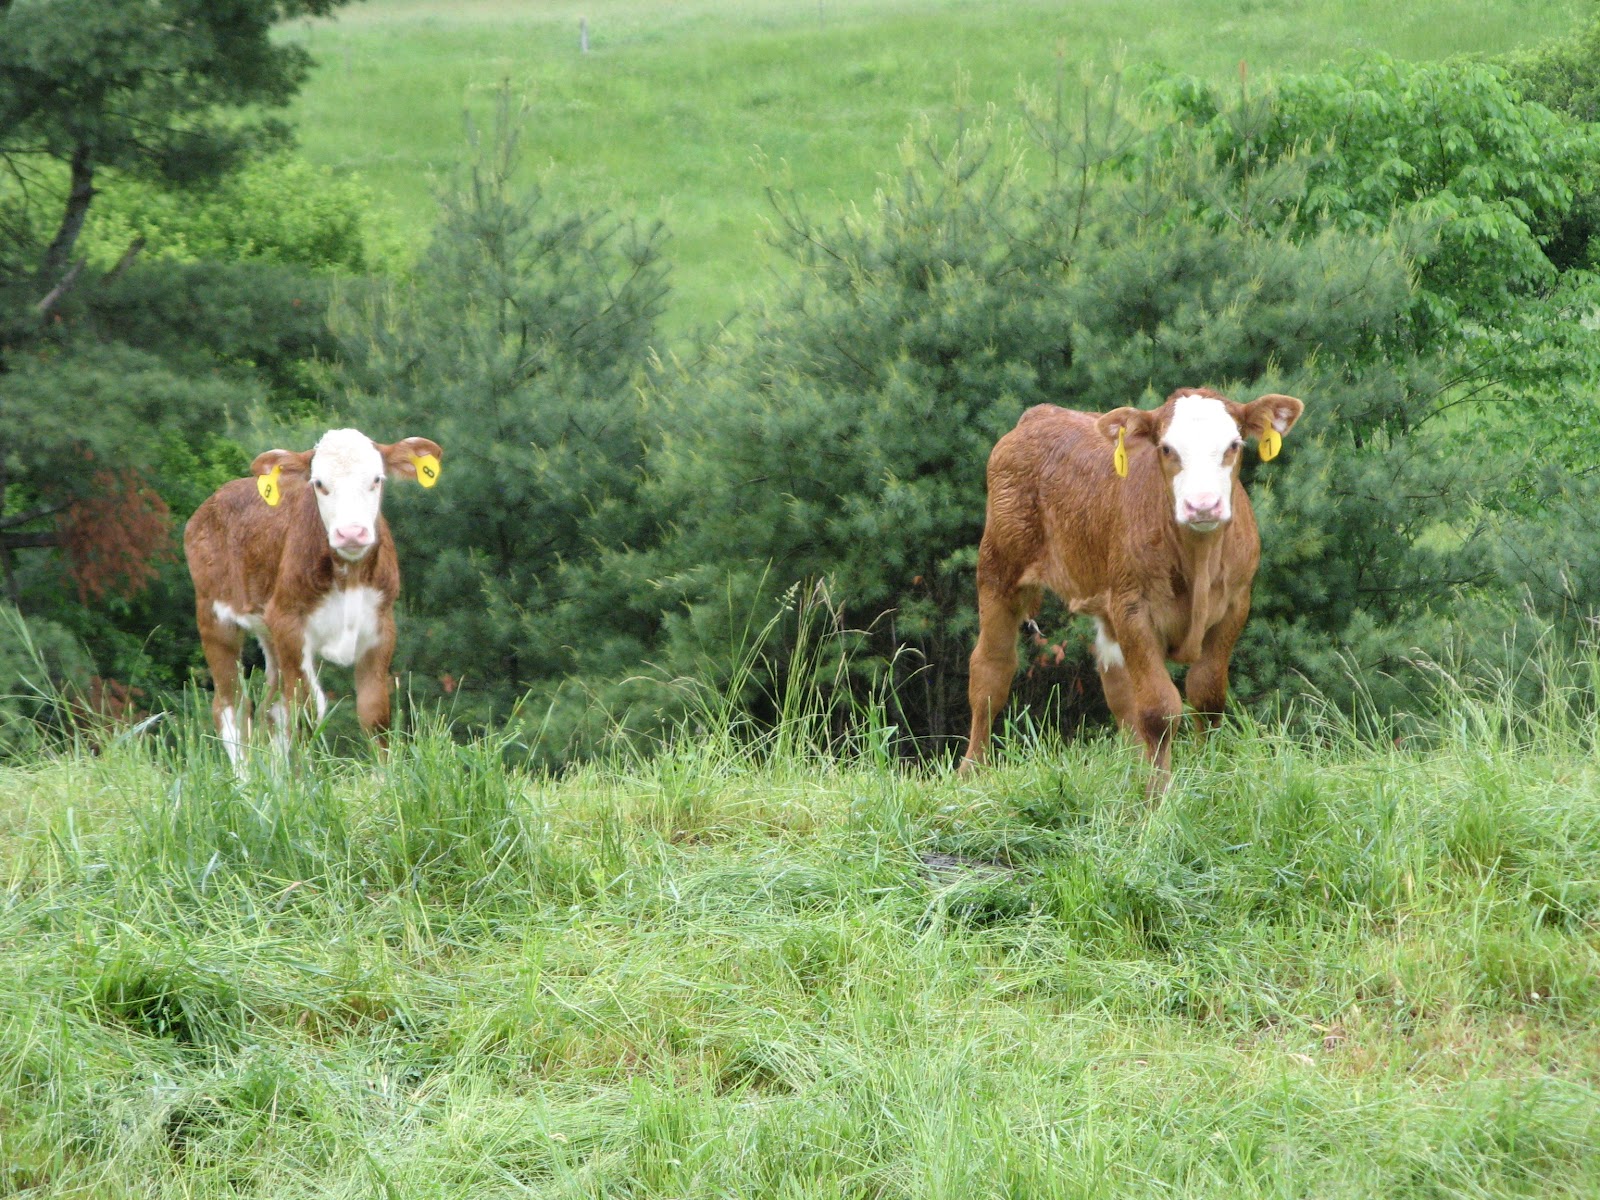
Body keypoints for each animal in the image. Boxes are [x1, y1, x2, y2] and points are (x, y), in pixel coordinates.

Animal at [183, 428, 443, 767]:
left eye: (377, 479)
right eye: (319, 483)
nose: (351, 533)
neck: (349, 576)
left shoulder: (381, 627)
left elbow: (374, 715)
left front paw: (385, 781)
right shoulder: (290, 625)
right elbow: (305, 712)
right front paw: (299, 780)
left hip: (268, 632)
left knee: (270, 706)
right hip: (214, 616)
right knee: (231, 706)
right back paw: (245, 777)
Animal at [959, 387, 1304, 788]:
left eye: (1234, 445)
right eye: (1167, 448)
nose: (1203, 505)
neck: (1198, 562)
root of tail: (1041, 414)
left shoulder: (1235, 605)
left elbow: (1206, 695)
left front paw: (1207, 772)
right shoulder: (1134, 609)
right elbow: (1158, 709)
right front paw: (1158, 795)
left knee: (1119, 688)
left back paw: (1131, 767)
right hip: (999, 567)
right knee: (990, 670)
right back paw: (972, 772)